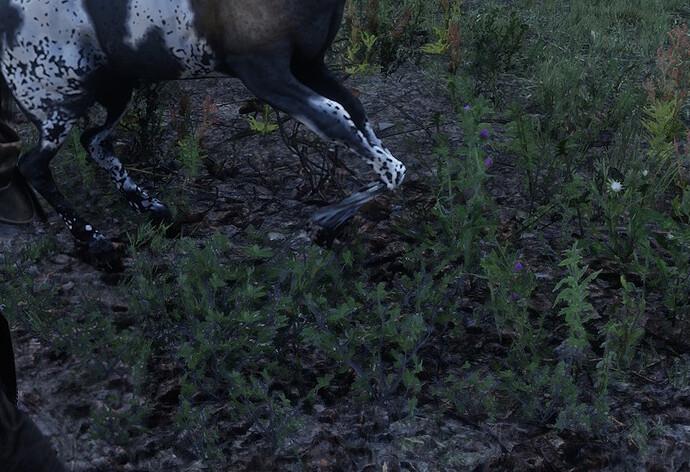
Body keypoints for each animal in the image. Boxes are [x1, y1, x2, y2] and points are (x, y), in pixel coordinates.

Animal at [0, 0, 406, 268]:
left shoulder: (310, 66)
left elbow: (360, 120)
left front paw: (334, 218)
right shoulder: (266, 74)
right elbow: (342, 124)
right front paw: (327, 219)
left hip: (116, 89)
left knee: (94, 142)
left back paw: (153, 210)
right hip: (60, 102)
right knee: (34, 165)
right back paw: (95, 241)